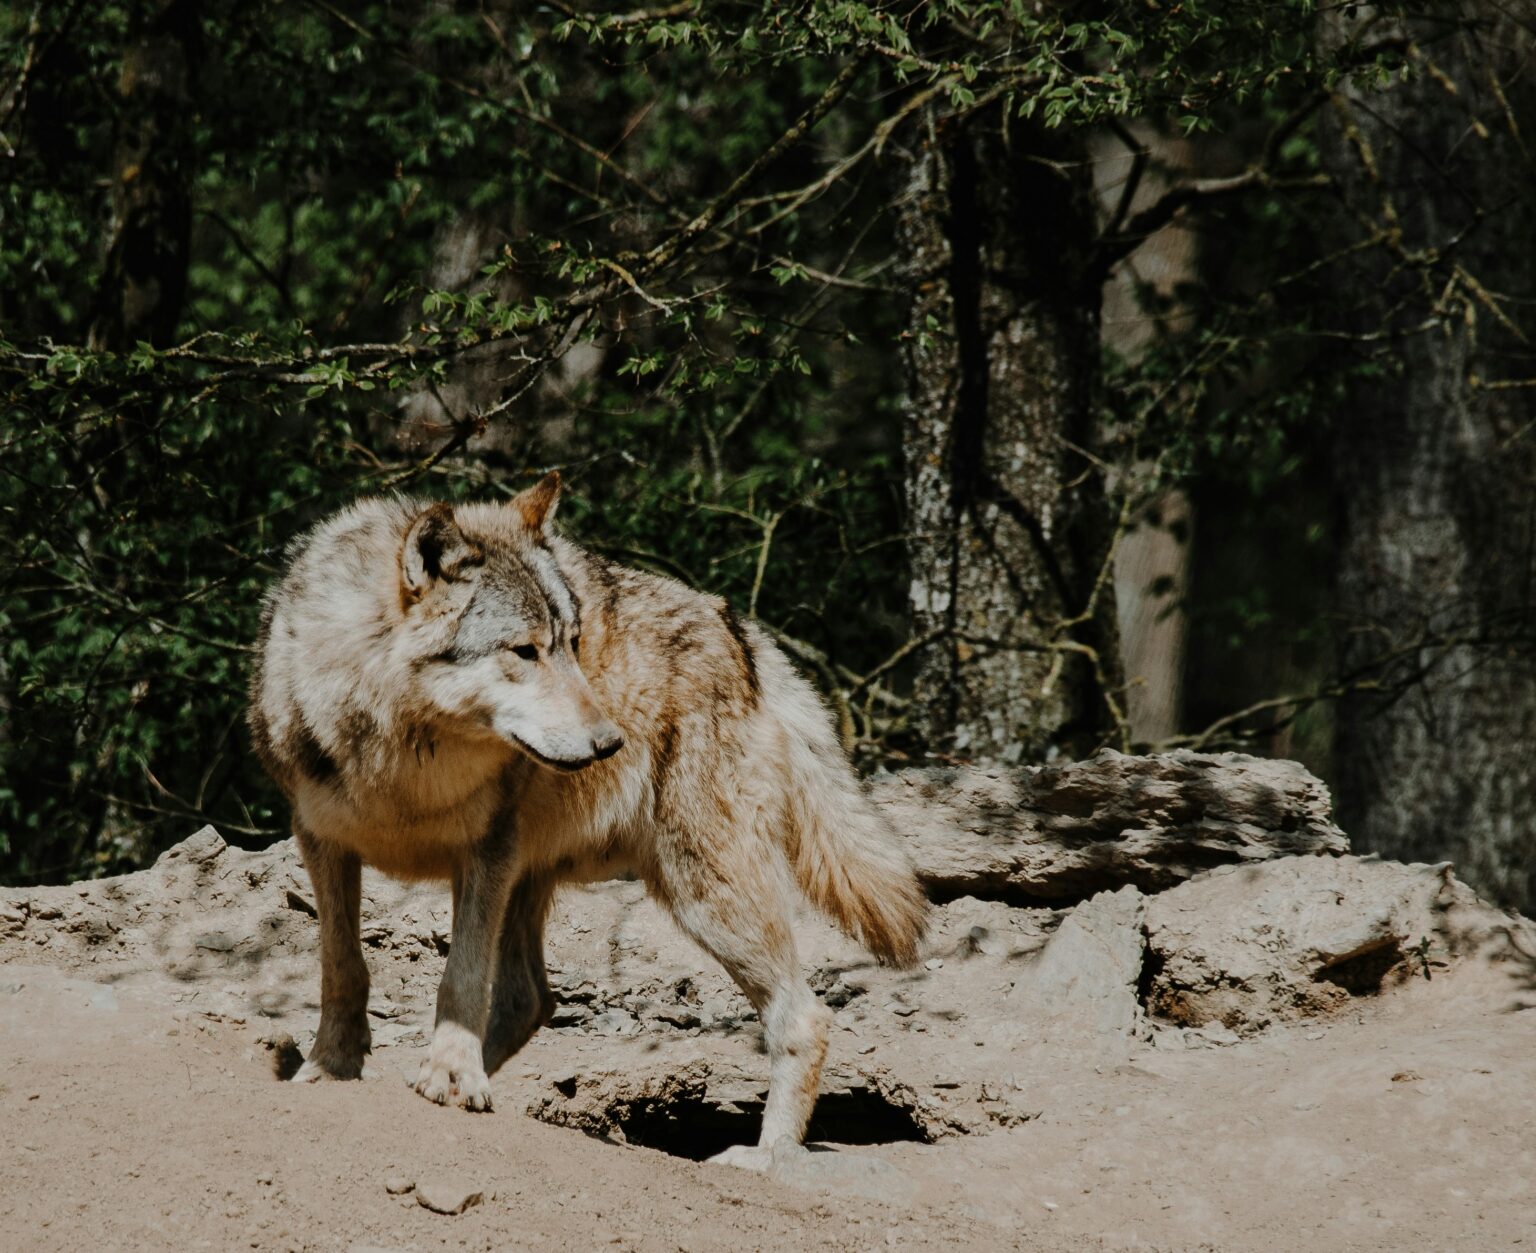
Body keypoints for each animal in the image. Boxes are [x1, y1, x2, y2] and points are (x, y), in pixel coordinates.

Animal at [248, 473, 927, 1163]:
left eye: (572, 644)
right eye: (524, 651)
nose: (609, 743)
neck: (406, 768)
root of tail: (737, 627)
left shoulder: (484, 855)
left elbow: (460, 978)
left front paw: (450, 1077)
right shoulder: (323, 841)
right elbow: (343, 968)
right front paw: (332, 1067)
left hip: (702, 895)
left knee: (804, 1017)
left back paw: (767, 1158)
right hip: (547, 881)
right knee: (530, 998)